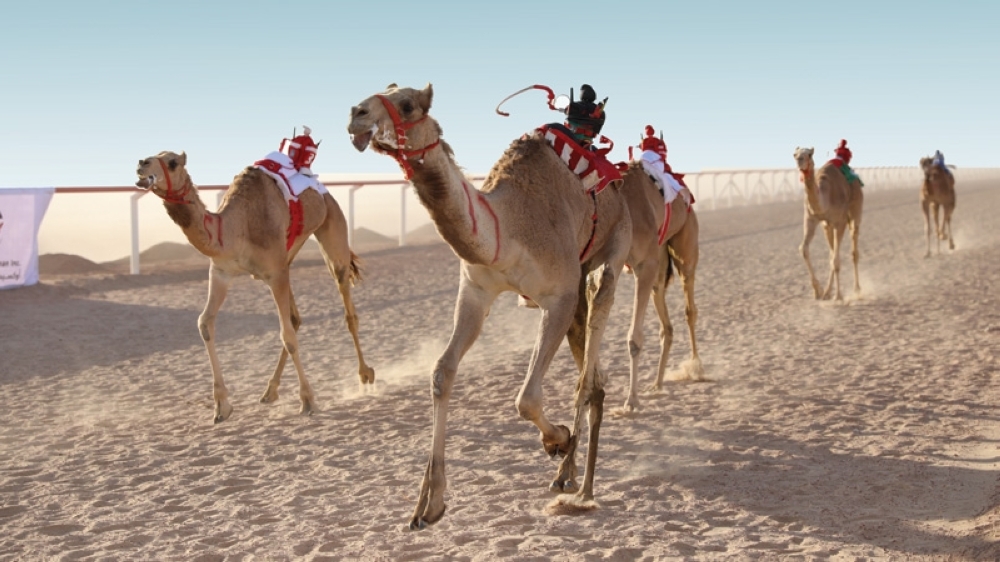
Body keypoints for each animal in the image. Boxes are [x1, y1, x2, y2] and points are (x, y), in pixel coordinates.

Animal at [134, 152, 375, 423]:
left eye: (173, 162)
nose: (142, 164)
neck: (236, 227)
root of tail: (323, 190)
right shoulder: (221, 272)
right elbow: (205, 323)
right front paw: (221, 406)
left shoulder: (274, 273)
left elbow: (287, 336)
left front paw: (308, 401)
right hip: (288, 256)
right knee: (295, 318)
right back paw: (270, 391)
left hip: (331, 227)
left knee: (345, 304)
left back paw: (365, 375)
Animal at [347, 84, 632, 529]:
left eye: (408, 104)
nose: (356, 115)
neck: (506, 226)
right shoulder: (476, 289)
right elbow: (442, 373)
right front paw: (428, 505)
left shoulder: (558, 295)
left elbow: (526, 398)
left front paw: (557, 440)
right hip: (580, 276)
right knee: (594, 377)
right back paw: (571, 475)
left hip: (615, 246)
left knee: (589, 366)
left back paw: (579, 485)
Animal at [618, 163, 702, 412]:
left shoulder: (643, 264)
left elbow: (634, 337)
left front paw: (631, 401)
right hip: (660, 261)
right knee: (667, 327)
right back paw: (657, 383)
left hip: (684, 248)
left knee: (690, 309)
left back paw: (696, 367)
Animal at [792, 147, 863, 300]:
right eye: (794, 154)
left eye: (809, 154)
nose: (800, 160)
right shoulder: (811, 219)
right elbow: (804, 249)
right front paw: (818, 291)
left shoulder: (839, 222)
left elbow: (836, 260)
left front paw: (839, 296)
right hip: (826, 226)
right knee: (831, 253)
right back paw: (827, 292)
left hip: (855, 211)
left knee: (853, 251)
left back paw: (857, 289)